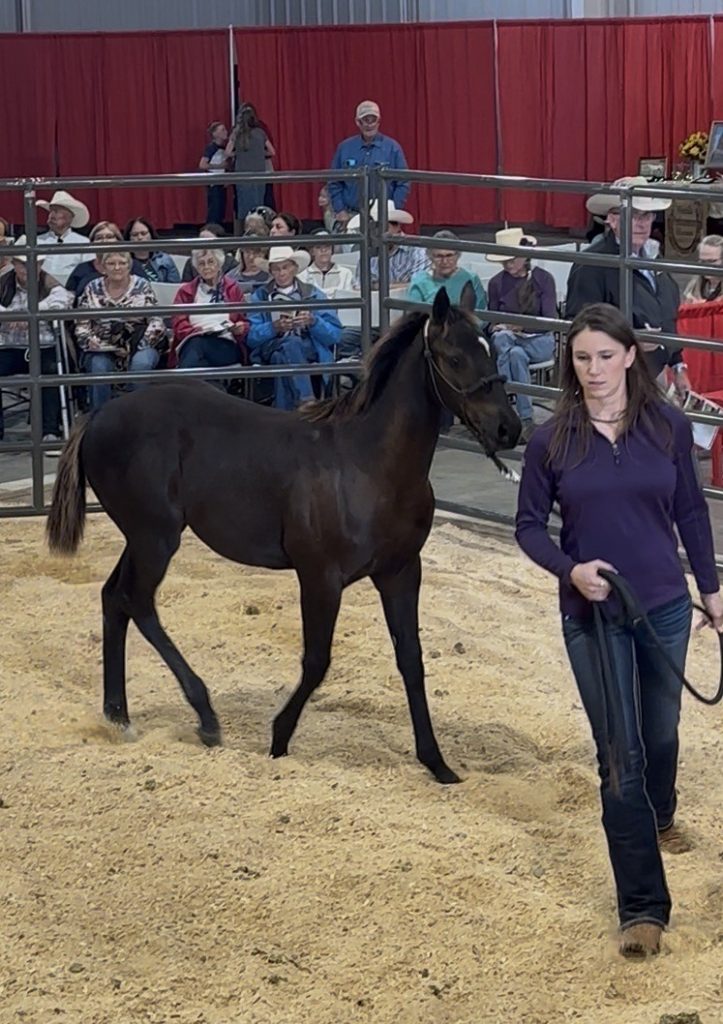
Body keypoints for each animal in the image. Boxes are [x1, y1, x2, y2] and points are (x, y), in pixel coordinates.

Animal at [47, 287, 521, 783]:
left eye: (488, 349)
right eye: (454, 358)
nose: (509, 428)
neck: (369, 465)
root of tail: (99, 414)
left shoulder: (401, 573)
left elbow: (411, 658)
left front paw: (437, 763)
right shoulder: (320, 578)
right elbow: (317, 661)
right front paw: (278, 739)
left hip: (140, 538)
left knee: (113, 598)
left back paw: (118, 716)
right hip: (155, 537)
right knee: (136, 602)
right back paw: (205, 717)